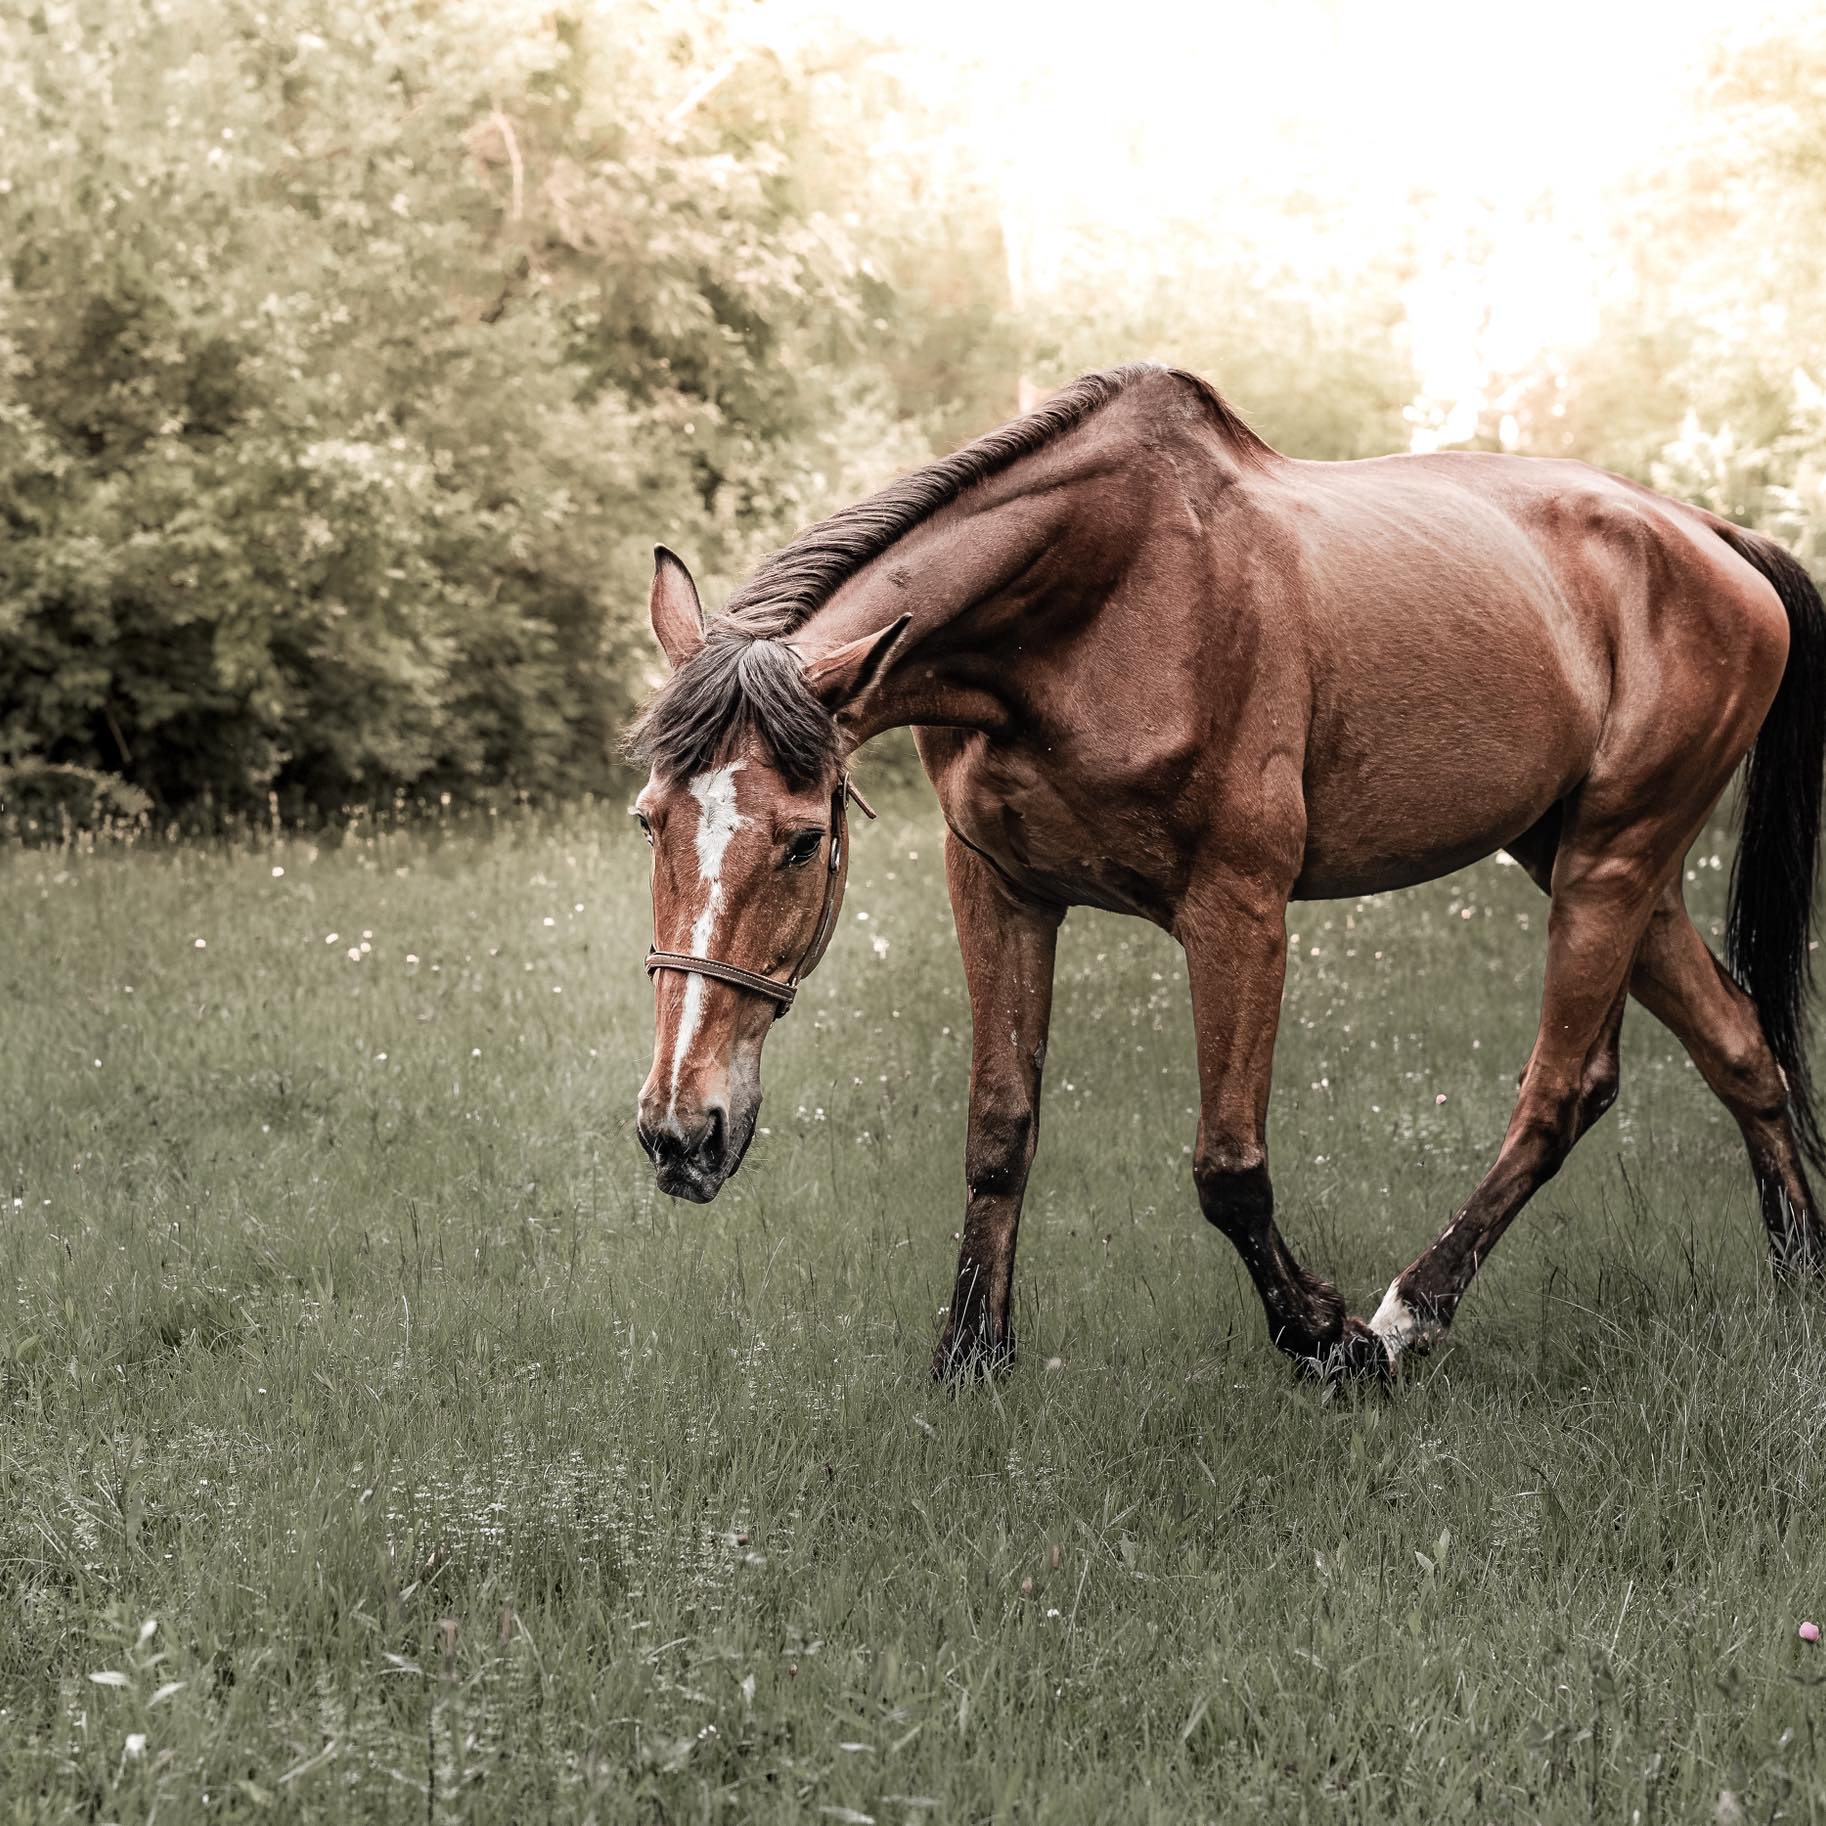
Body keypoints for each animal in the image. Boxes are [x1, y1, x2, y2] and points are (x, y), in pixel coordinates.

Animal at [626, 362, 1826, 1381]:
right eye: (649, 822)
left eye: (801, 840)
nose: (681, 1135)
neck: (1099, 601)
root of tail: (1715, 538)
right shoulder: (1001, 890)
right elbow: (999, 1128)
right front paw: (970, 1358)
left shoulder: (1236, 908)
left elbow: (1228, 1168)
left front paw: (1327, 1339)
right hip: (1596, 861)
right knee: (1737, 1048)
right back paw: (1799, 1281)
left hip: (1610, 861)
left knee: (1563, 1091)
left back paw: (1406, 1317)